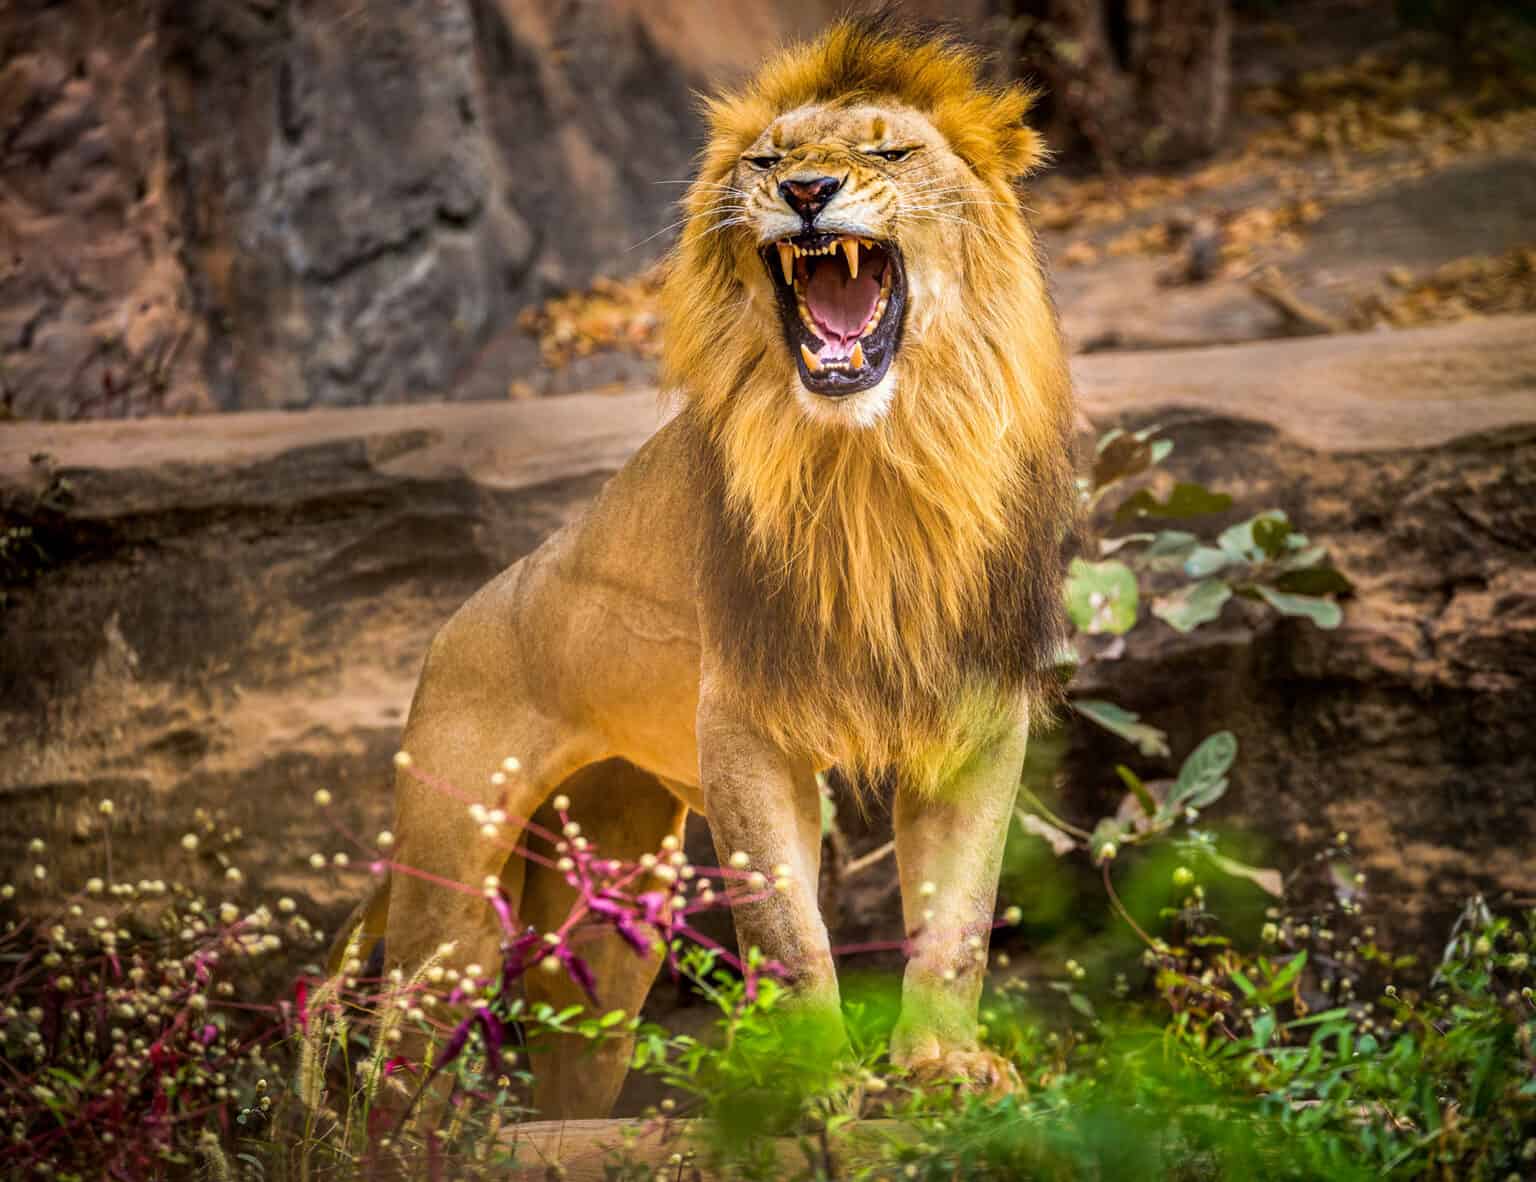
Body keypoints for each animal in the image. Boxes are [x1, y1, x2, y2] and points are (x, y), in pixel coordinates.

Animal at [333, 16, 1077, 1119]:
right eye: (767, 161)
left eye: (893, 152)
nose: (806, 190)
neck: (878, 462)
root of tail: (454, 626)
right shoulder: (745, 721)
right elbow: (788, 927)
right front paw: (815, 1081)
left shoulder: (977, 712)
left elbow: (958, 924)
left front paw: (945, 1068)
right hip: (452, 910)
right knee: (388, 1072)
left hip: (608, 930)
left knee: (567, 1067)